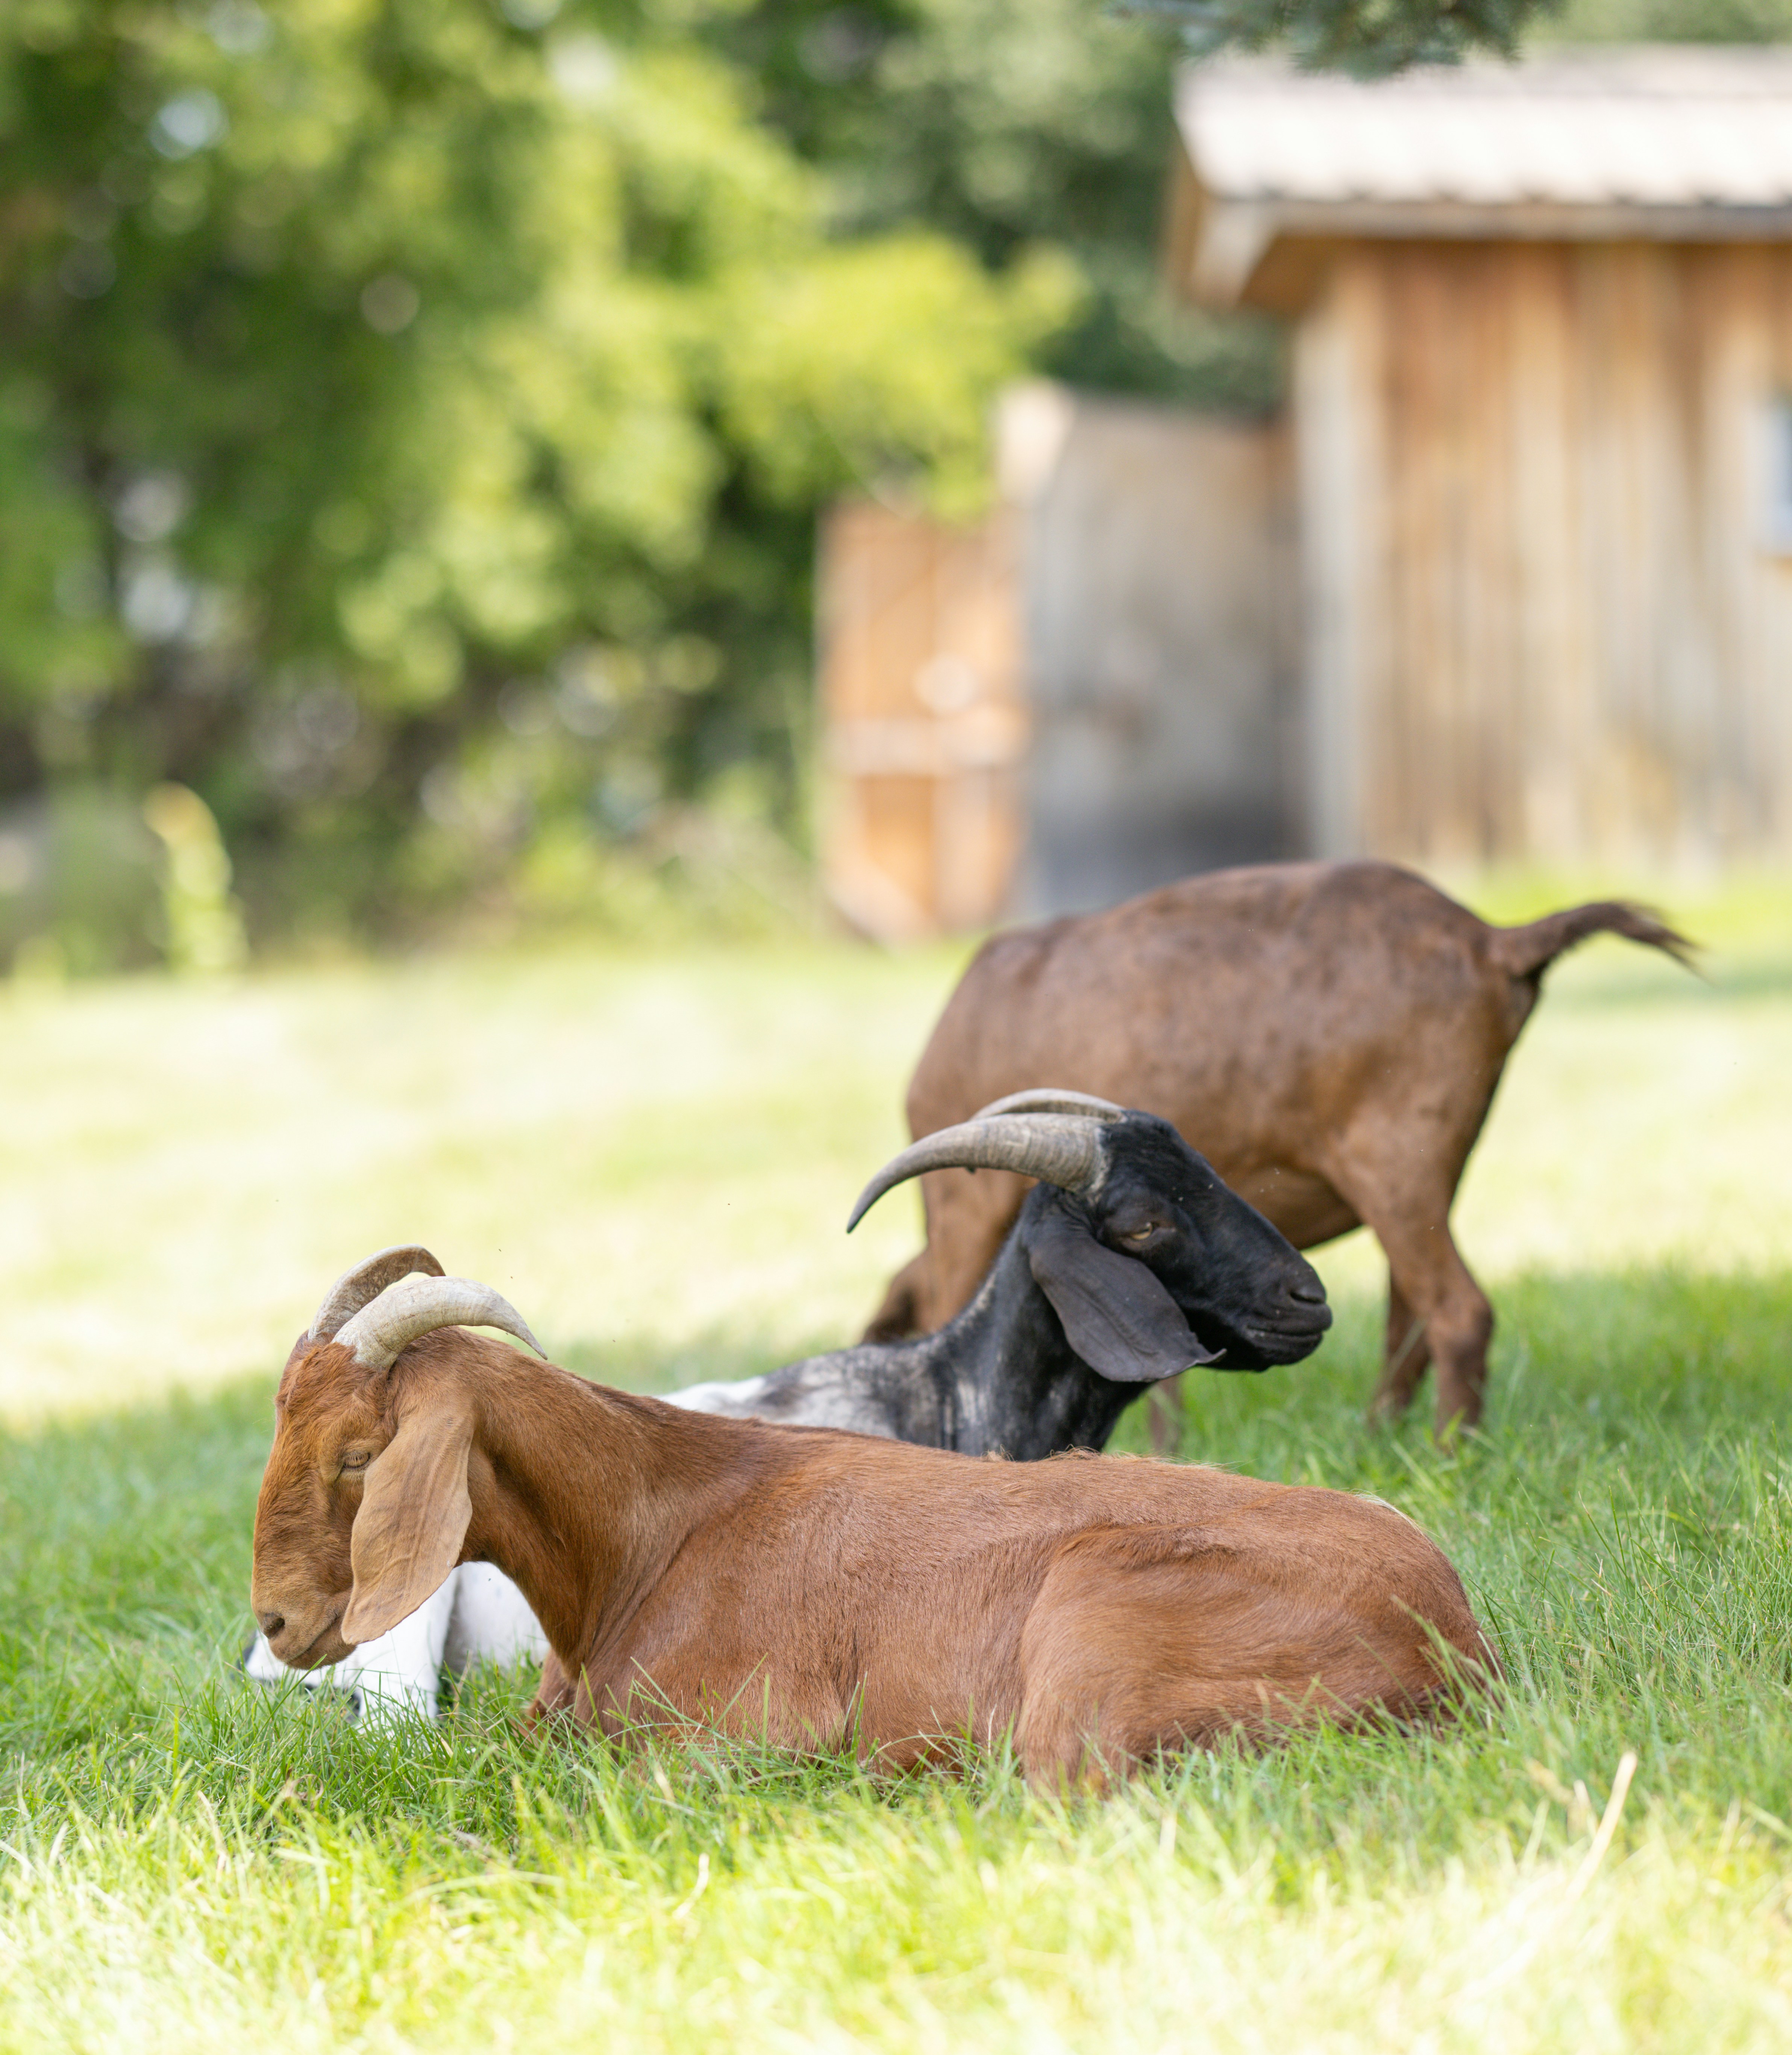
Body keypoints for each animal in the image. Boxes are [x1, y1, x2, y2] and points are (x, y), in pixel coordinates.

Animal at [250, 1266, 1496, 1785]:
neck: (645, 1539)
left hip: (1094, 1635)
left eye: (359, 1456)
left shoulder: (746, 1730)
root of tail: (1452, 1652)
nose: (277, 1624)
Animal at [865, 860, 1694, 1438]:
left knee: (1459, 1310)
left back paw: (1450, 1455)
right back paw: (1380, 1443)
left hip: (1392, 1160)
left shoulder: (967, 1205)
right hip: (1428, 1172)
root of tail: (1491, 940)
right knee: (1411, 1313)